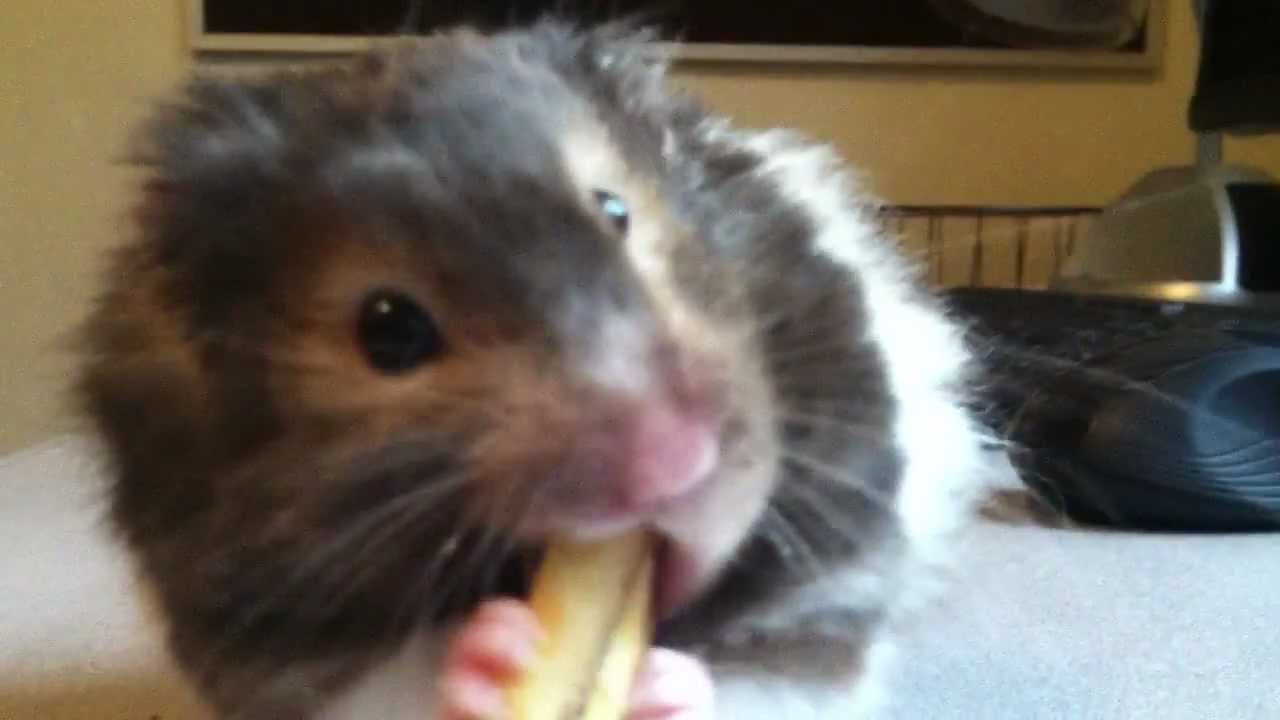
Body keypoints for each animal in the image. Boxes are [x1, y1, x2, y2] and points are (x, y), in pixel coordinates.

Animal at [76, 18, 990, 720]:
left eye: (615, 210)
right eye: (388, 329)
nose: (671, 461)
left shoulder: (835, 573)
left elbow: (774, 677)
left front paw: (664, 683)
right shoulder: (272, 638)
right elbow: (405, 682)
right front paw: (500, 654)